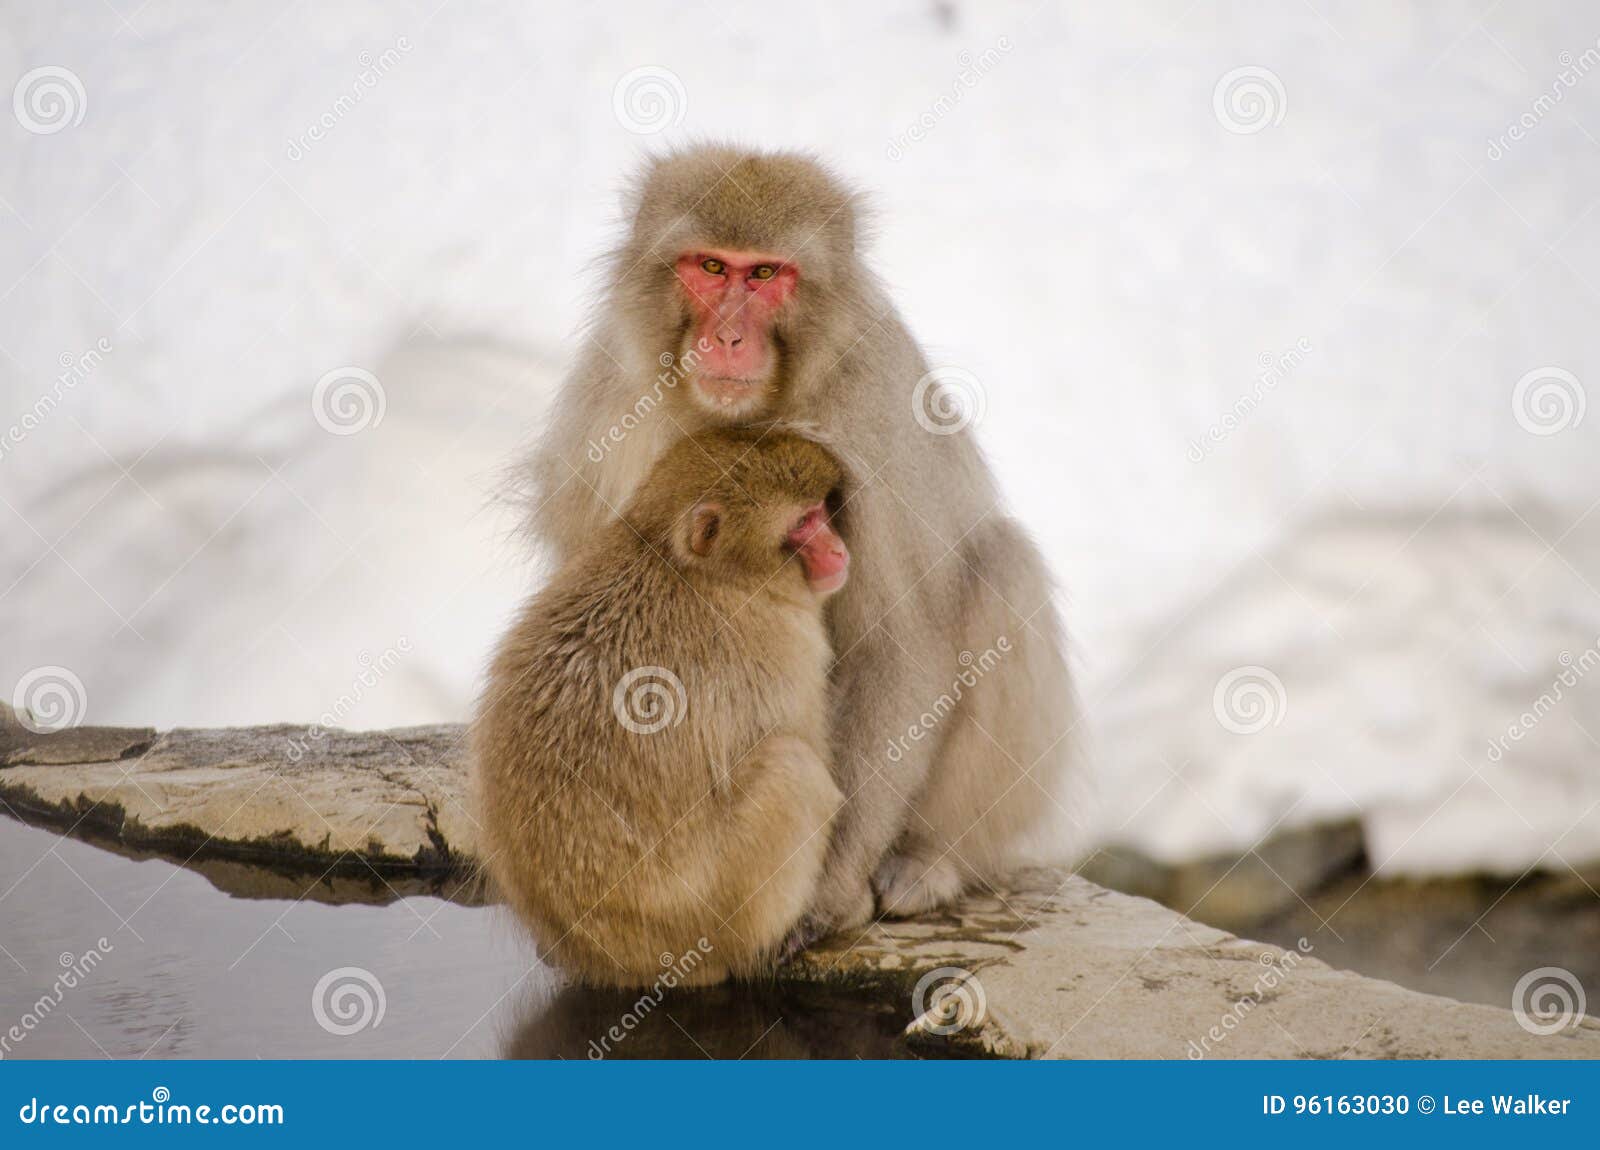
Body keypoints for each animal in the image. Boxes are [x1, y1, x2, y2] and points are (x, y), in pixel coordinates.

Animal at [475, 427, 852, 987]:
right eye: (803, 524)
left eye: (820, 511)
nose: (836, 548)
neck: (679, 562)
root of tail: (613, 959)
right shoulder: (786, 652)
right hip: (714, 914)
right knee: (794, 768)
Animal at [522, 144, 1082, 941]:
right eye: (711, 267)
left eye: (765, 274)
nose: (728, 337)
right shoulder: (610, 404)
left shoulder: (870, 409)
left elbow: (900, 644)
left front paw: (826, 895)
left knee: (1001, 571)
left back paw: (934, 858)